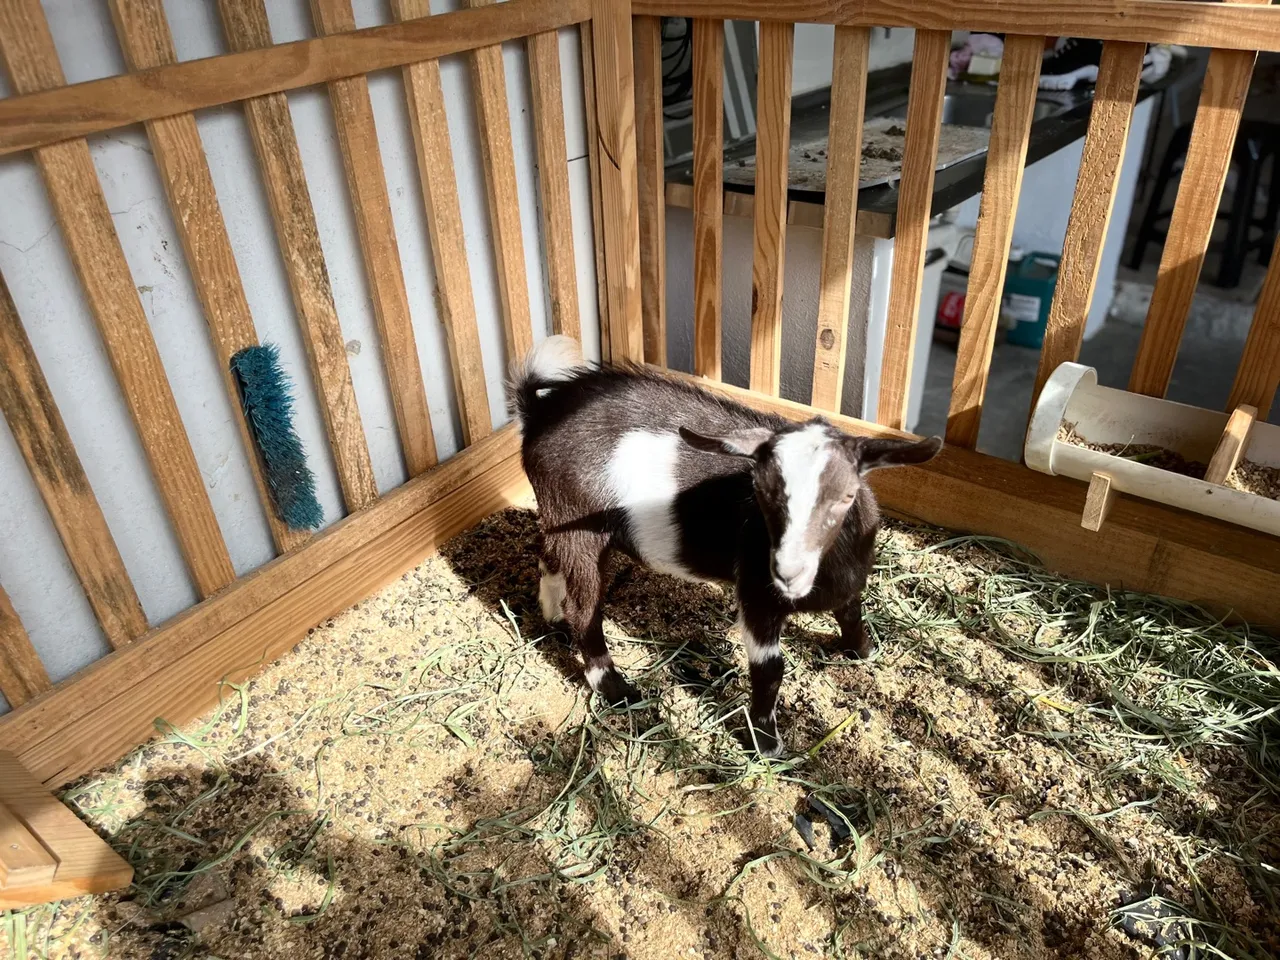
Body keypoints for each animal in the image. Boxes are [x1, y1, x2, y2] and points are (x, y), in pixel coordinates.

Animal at [512, 336, 942, 756]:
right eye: (761, 491)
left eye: (847, 495)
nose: (788, 571)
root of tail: (537, 413)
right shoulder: (756, 596)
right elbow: (770, 670)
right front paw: (765, 743)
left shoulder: (847, 583)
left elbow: (851, 613)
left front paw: (864, 652)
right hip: (577, 525)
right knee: (584, 609)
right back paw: (617, 689)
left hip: (561, 521)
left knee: (548, 556)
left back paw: (551, 615)